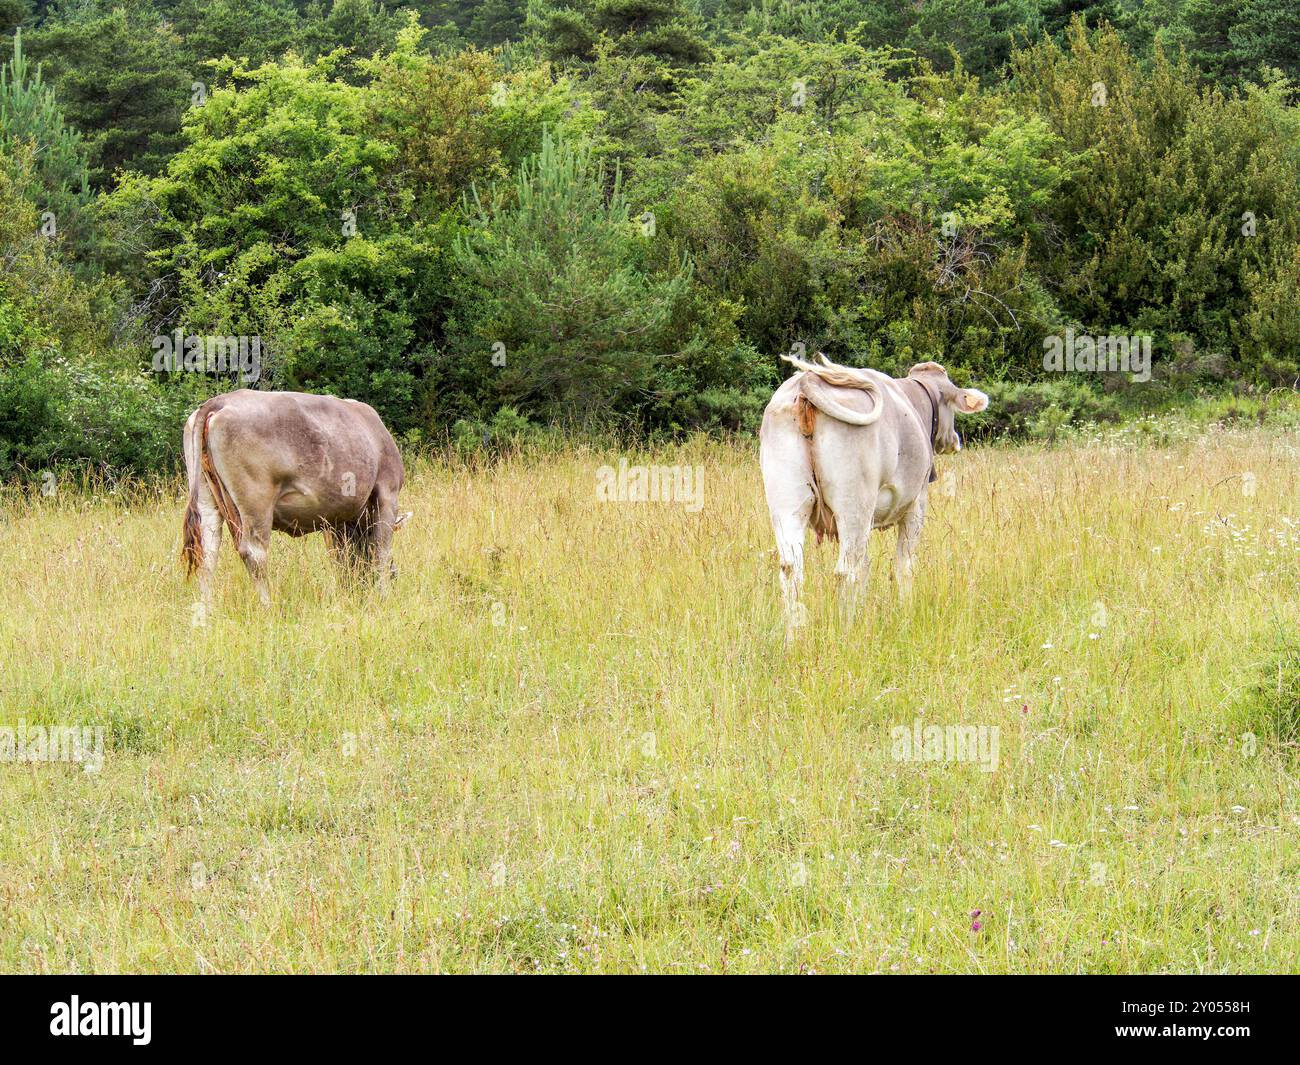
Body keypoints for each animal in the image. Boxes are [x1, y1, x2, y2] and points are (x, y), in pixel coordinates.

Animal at [180, 390, 408, 612]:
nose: (396, 576)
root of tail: (219, 401)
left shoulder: (335, 520)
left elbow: (341, 557)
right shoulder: (387, 493)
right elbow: (381, 551)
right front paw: (383, 597)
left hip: (206, 499)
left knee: (207, 555)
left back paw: (204, 611)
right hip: (256, 502)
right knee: (254, 553)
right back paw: (268, 608)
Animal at [759, 354, 989, 641]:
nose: (955, 441)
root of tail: (806, 382)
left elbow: (866, 567)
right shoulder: (916, 506)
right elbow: (904, 565)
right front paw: (905, 612)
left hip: (787, 504)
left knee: (793, 569)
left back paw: (794, 637)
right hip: (853, 507)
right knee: (845, 571)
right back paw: (846, 633)